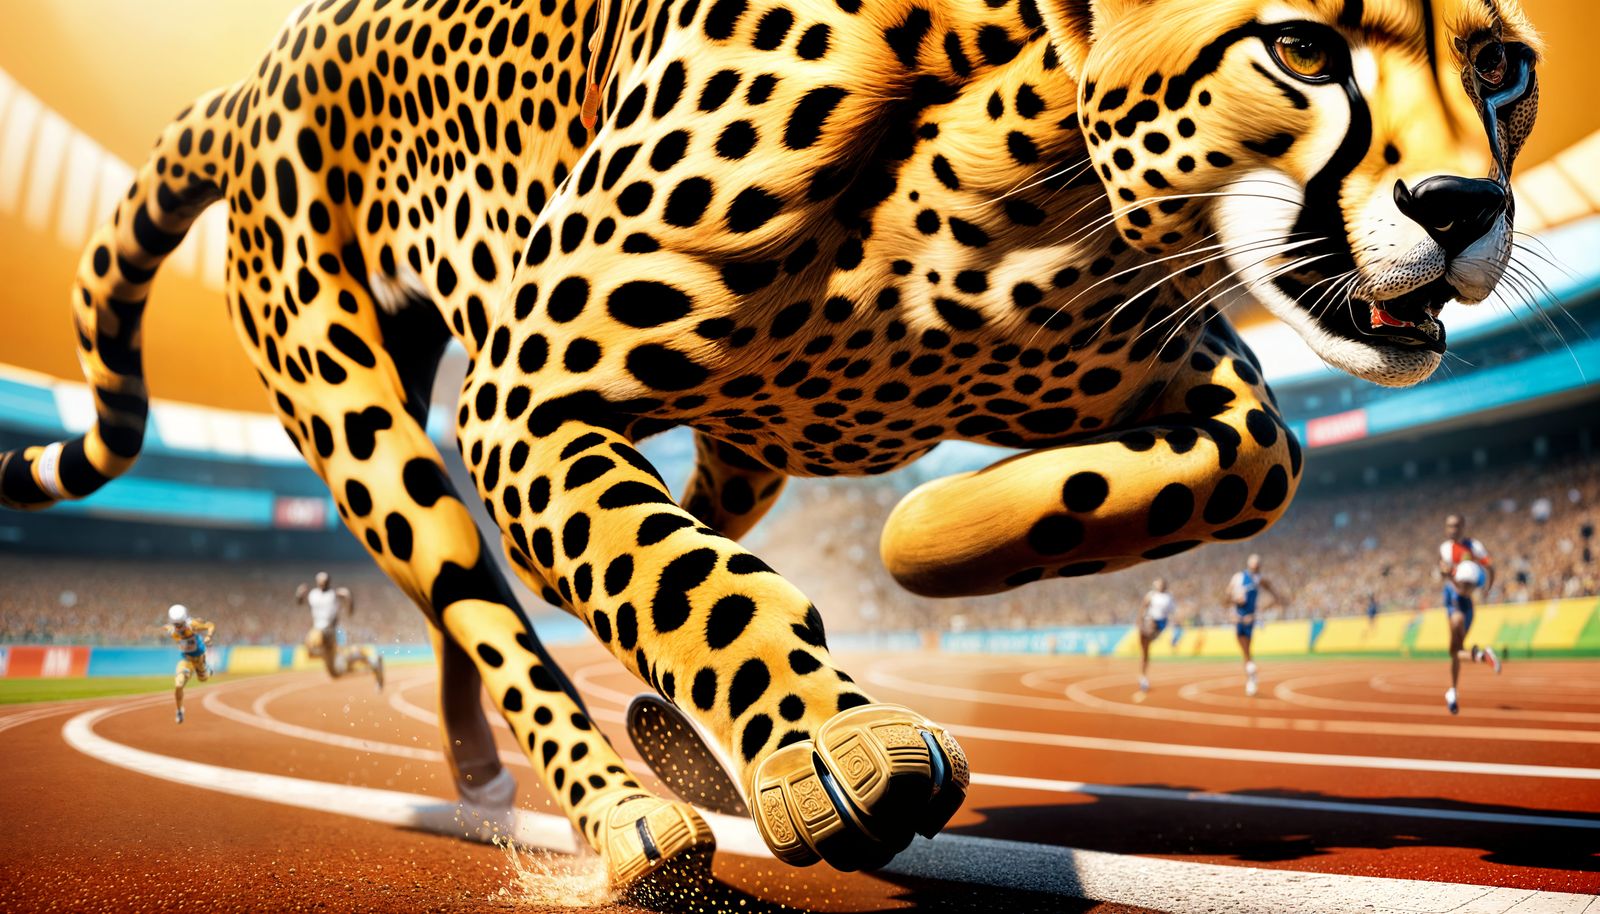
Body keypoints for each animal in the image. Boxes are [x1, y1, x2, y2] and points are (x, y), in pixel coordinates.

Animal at [0, 0, 1542, 890]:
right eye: (1303, 45)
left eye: (1505, 65)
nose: (1465, 206)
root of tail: (262, 65)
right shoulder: (532, 394)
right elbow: (691, 585)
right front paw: (824, 739)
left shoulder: (1193, 374)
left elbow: (1257, 454)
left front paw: (930, 541)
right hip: (366, 407)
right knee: (483, 592)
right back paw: (626, 817)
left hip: (707, 430)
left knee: (598, 550)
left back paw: (543, 758)